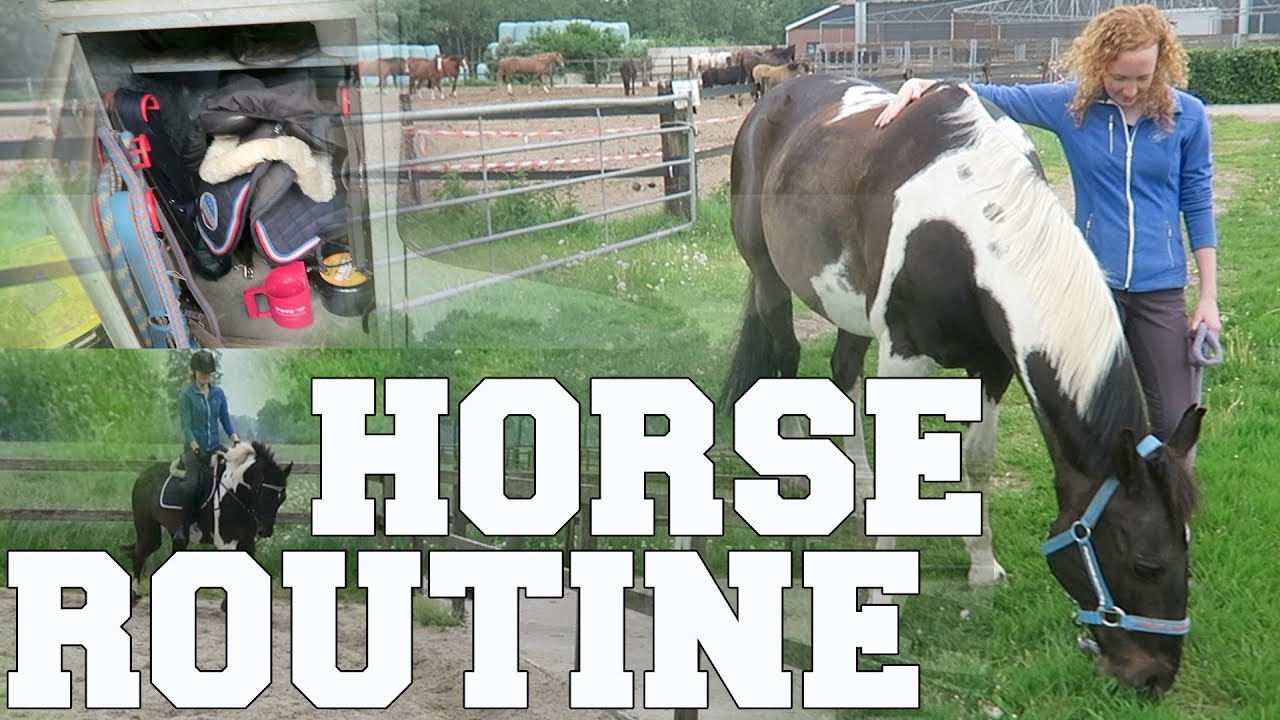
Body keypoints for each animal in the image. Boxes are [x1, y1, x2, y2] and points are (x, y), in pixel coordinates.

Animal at [122, 441, 292, 608]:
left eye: (282, 497)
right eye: (259, 491)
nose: (265, 530)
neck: (235, 494)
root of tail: (143, 475)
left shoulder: (247, 541)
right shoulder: (226, 541)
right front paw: (225, 605)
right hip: (147, 527)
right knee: (138, 554)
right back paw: (134, 595)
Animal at [722, 73, 1203, 696]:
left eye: (1188, 549)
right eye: (1147, 563)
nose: (1154, 678)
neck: (965, 221)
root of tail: (774, 97)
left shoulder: (994, 364)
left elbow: (977, 459)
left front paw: (981, 565)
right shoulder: (905, 355)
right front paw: (880, 592)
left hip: (852, 312)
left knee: (843, 374)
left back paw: (857, 494)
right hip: (769, 278)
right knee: (785, 361)